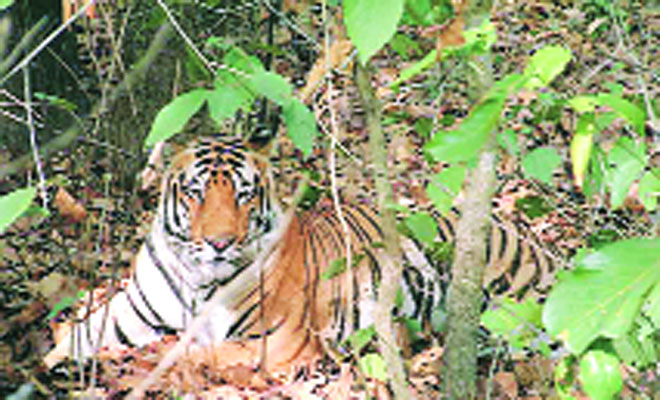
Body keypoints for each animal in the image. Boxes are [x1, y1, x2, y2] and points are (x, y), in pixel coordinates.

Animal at [43, 133, 557, 374]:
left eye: (243, 195)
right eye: (195, 193)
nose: (219, 242)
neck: (195, 276)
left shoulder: (275, 340)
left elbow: (188, 350)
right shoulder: (126, 313)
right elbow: (73, 334)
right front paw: (47, 365)